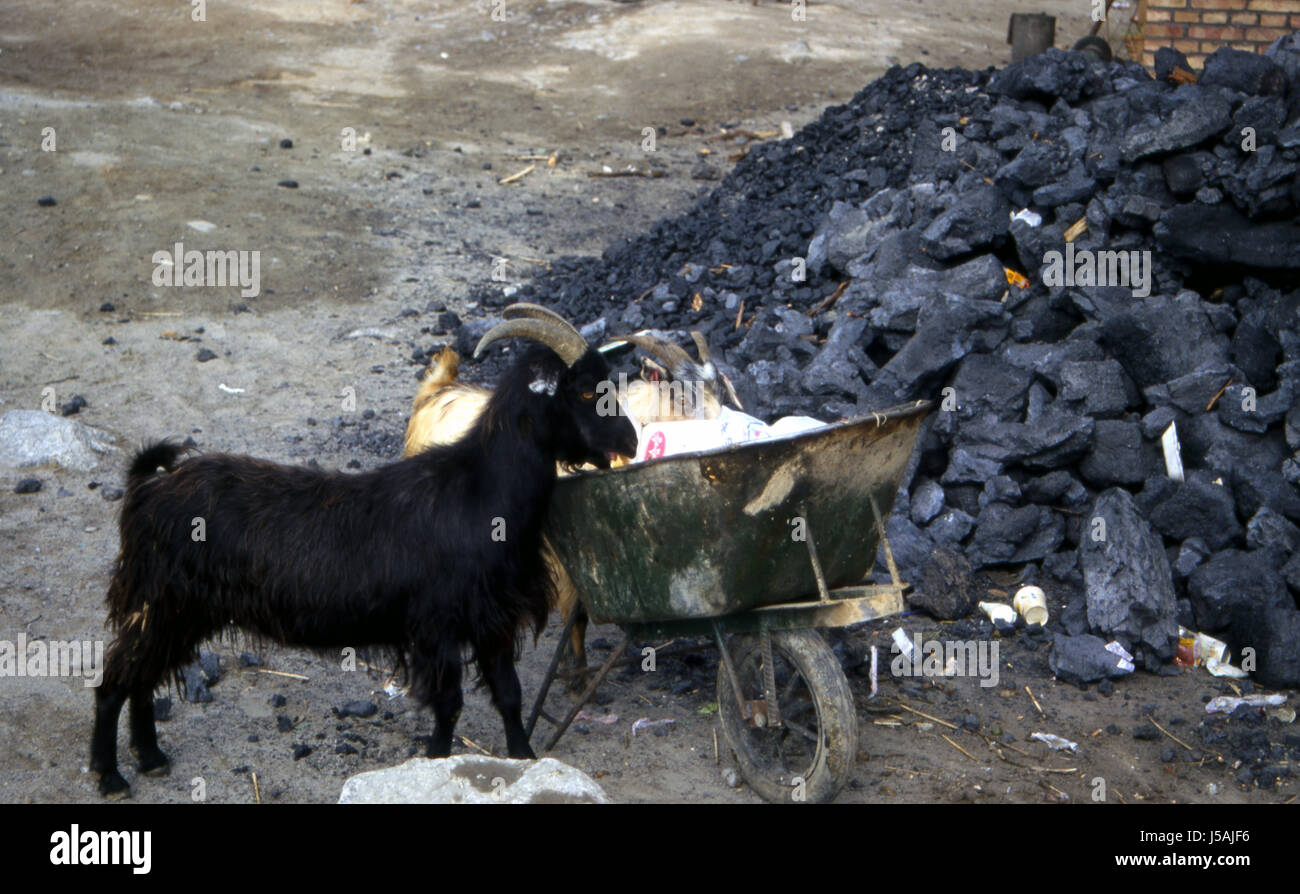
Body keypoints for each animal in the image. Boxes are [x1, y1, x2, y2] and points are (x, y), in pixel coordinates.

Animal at [89, 309, 638, 798]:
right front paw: (436, 763)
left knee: (141, 678)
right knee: (115, 680)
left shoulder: (493, 619)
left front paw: (525, 760)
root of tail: (148, 487)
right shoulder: (437, 626)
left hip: (176, 611)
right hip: (162, 603)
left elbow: (510, 695)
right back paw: (112, 776)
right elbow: (449, 705)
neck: (481, 491)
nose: (631, 440)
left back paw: (151, 758)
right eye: (584, 390)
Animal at [403, 316, 740, 683]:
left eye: (720, 392)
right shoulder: (566, 555)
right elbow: (575, 615)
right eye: (679, 397)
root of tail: (438, 389)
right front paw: (576, 676)